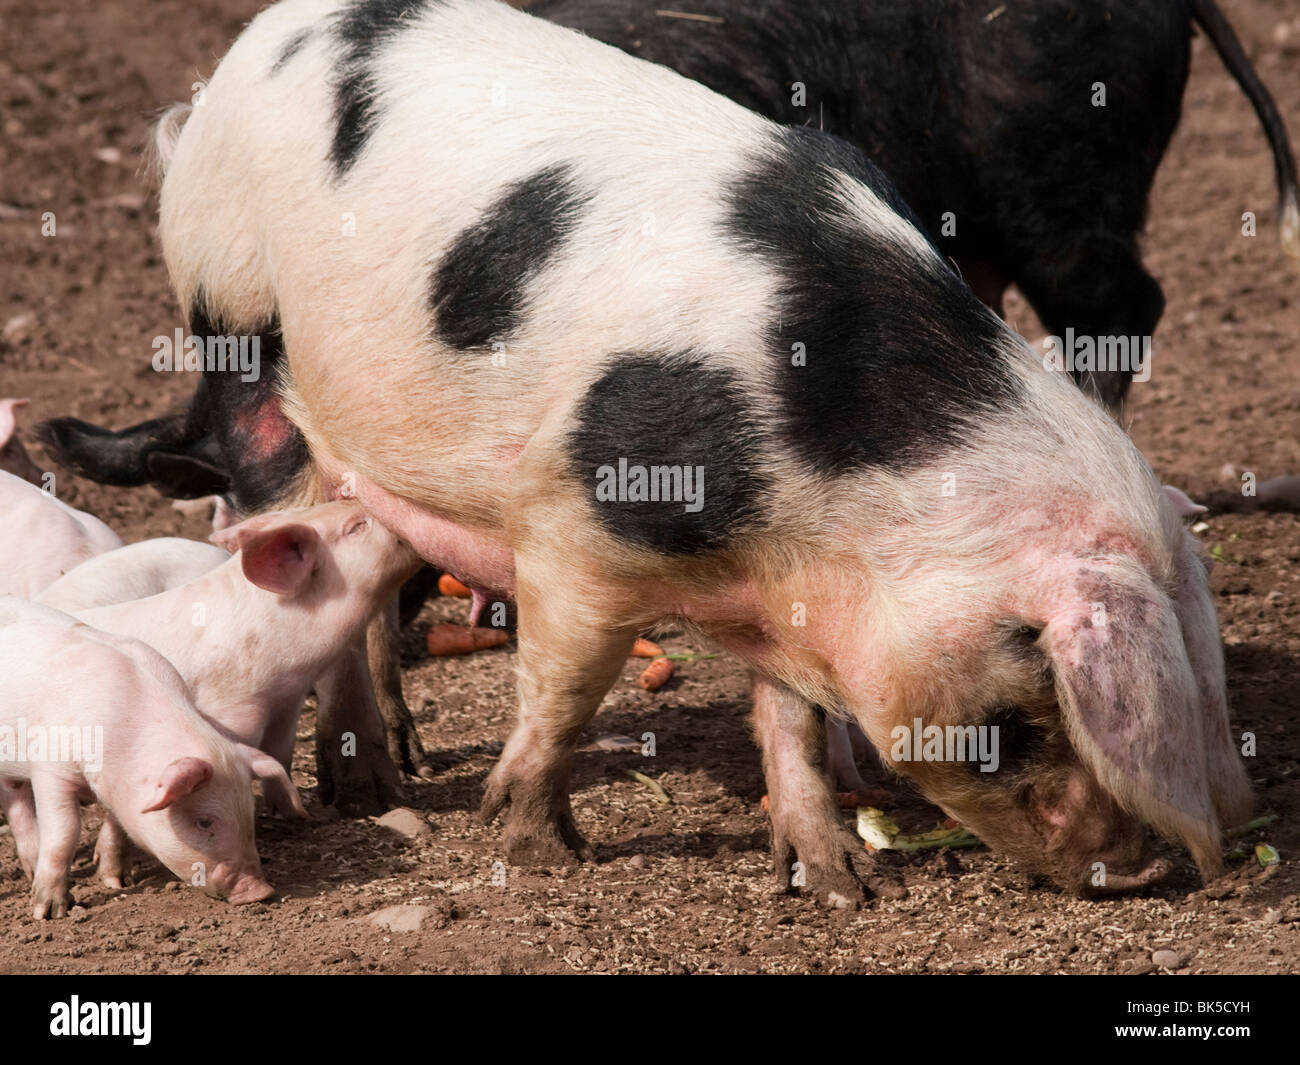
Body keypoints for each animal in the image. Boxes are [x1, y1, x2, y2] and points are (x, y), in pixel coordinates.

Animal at [0, 597, 290, 917]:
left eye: (249, 812)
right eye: (204, 822)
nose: (260, 891)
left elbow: (119, 828)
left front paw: (117, 882)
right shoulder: (52, 769)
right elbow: (65, 832)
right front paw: (48, 913)